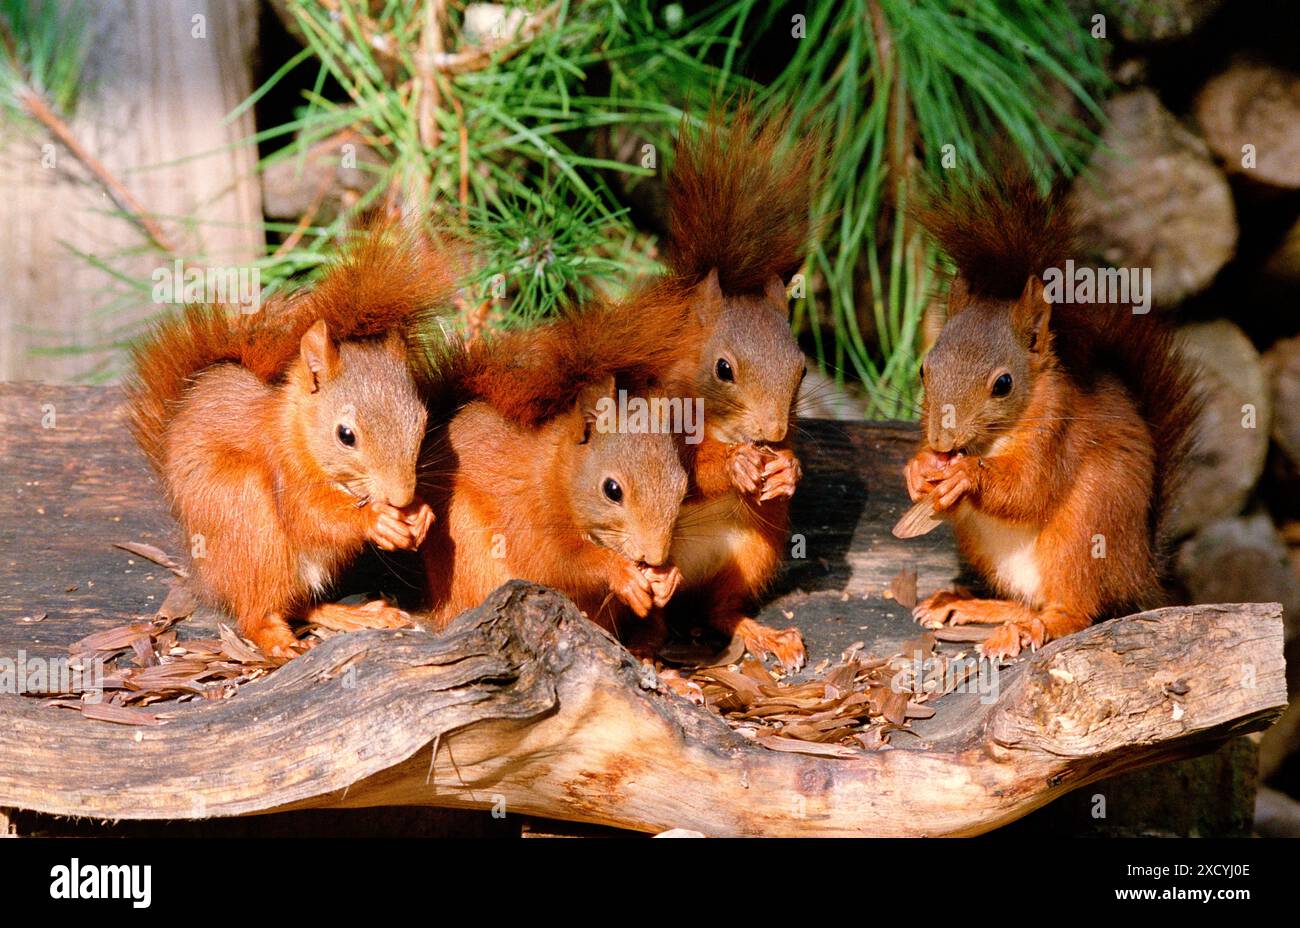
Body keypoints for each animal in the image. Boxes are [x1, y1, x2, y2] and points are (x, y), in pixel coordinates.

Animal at [126, 224, 457, 660]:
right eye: (345, 435)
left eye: (421, 420)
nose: (400, 497)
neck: (296, 429)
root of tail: (204, 574)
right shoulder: (283, 468)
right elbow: (310, 516)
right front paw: (377, 519)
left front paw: (420, 515)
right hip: (249, 520)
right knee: (258, 613)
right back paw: (282, 643)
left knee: (300, 604)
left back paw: (356, 614)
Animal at [902, 171, 1200, 660]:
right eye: (924, 369)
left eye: (1003, 384)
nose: (944, 442)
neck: (990, 442)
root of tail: (1138, 572)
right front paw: (919, 467)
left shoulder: (1058, 433)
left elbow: (1029, 490)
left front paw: (966, 475)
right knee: (1028, 602)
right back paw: (967, 605)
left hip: (1085, 529)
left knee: (1071, 611)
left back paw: (1030, 628)